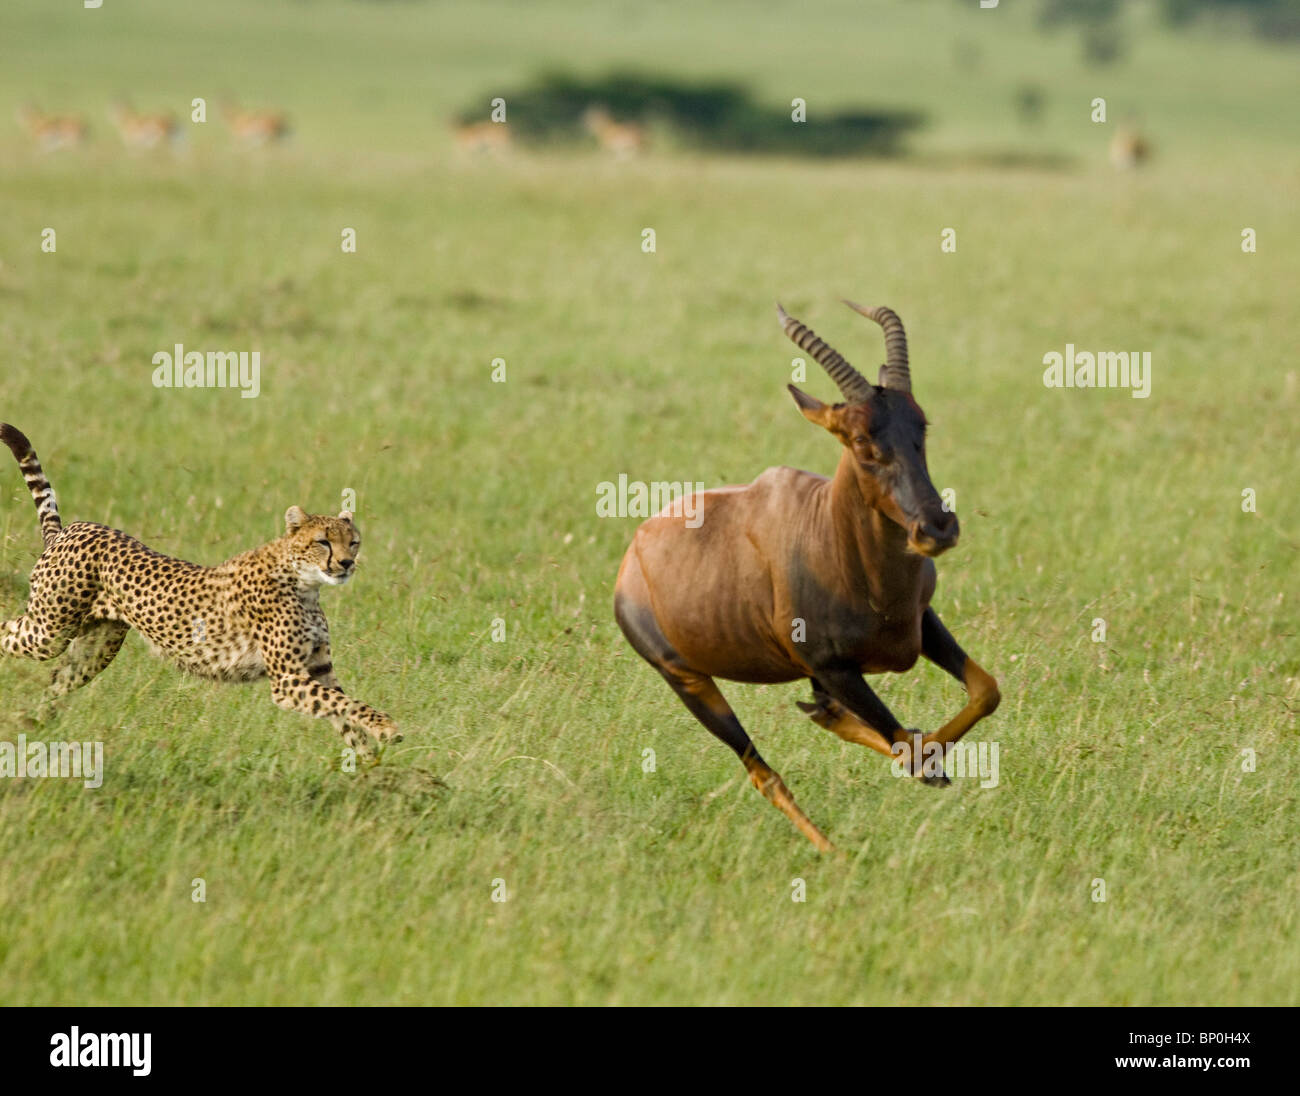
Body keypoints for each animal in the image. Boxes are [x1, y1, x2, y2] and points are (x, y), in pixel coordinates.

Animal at [0, 423, 400, 754]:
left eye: (353, 542)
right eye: (323, 542)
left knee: (56, 681)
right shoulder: (288, 680)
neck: (304, 583)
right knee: (8, 631)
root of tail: (70, 530)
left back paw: (34, 722)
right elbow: (344, 705)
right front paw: (386, 729)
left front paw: (369, 759)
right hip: (50, 630)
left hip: (94, 649)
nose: (346, 564)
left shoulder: (317, 669)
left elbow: (342, 711)